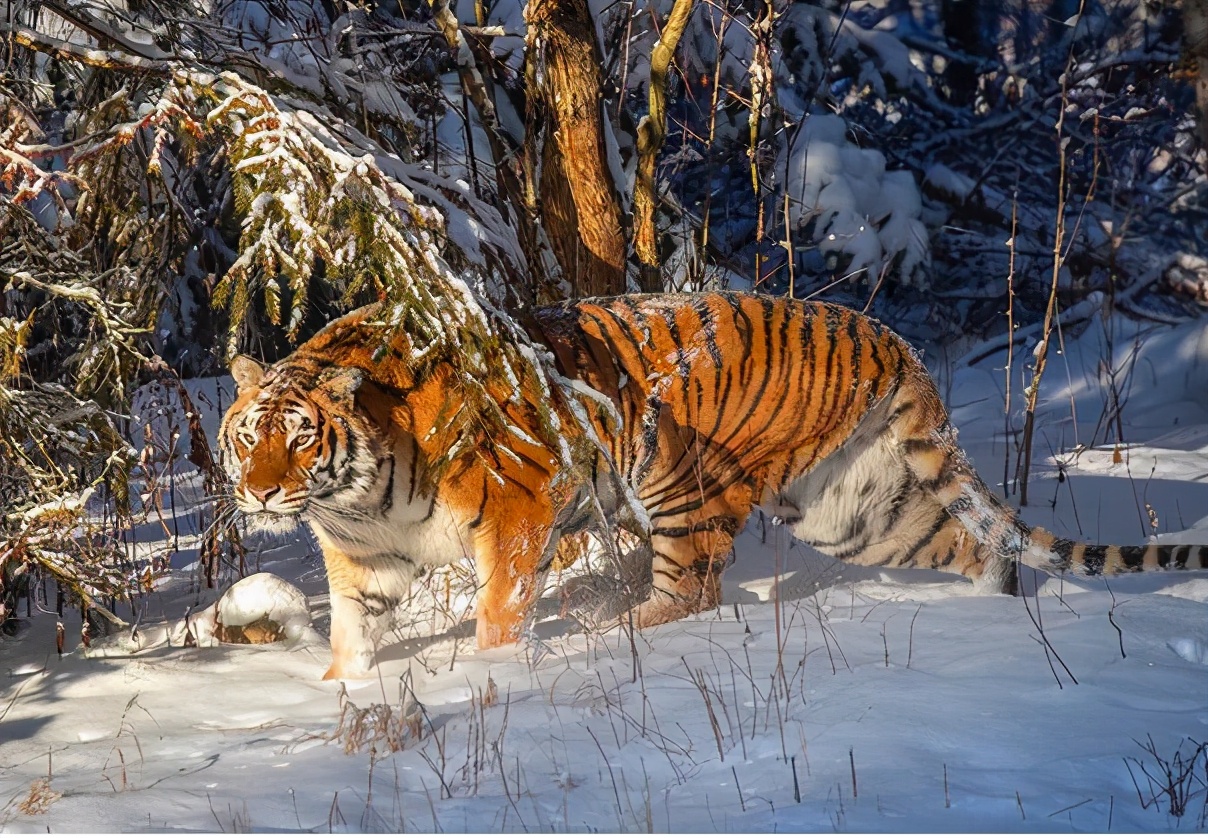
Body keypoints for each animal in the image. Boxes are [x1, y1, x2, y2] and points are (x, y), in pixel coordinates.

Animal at [219, 291, 1207, 679]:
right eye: (247, 439)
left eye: (298, 438)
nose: (261, 494)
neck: (352, 493)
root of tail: (885, 335)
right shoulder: (364, 560)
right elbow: (352, 633)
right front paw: (339, 692)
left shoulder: (517, 514)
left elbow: (501, 612)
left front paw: (496, 676)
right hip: (853, 508)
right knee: (969, 542)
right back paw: (1000, 615)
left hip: (681, 479)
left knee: (690, 590)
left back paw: (613, 633)